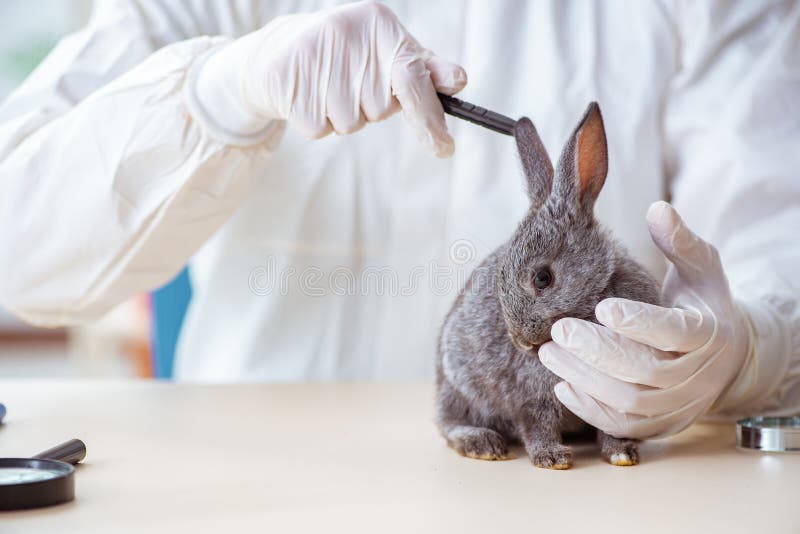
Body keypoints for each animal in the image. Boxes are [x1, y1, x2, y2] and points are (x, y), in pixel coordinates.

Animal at [435, 102, 661, 469]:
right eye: (500, 275)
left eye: (543, 278)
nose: (520, 341)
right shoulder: (531, 395)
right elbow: (536, 423)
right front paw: (552, 458)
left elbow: (612, 425)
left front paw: (622, 454)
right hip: (458, 388)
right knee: (448, 423)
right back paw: (481, 443)